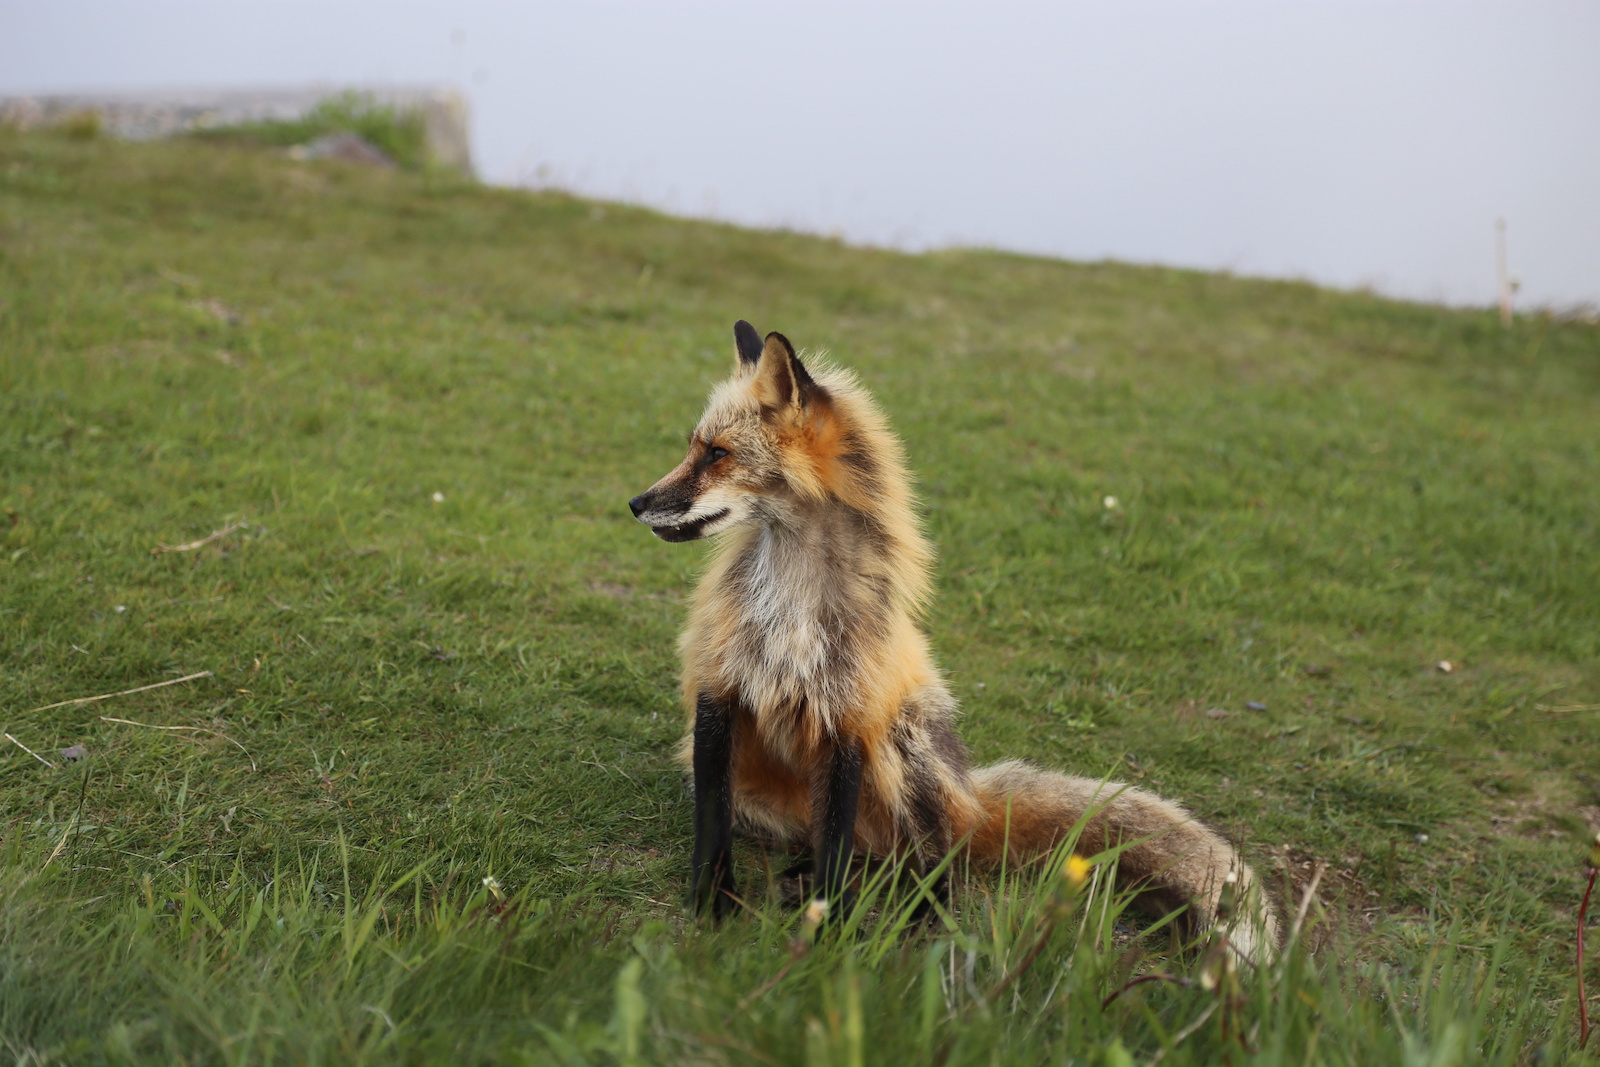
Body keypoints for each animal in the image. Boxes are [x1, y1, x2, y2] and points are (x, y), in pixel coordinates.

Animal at [628, 321, 1281, 961]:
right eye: (694, 447)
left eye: (717, 454)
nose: (635, 503)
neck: (790, 606)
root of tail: (969, 795)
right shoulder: (718, 692)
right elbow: (712, 825)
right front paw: (713, 904)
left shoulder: (850, 716)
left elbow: (837, 842)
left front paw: (829, 929)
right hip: (748, 783)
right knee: (867, 853)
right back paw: (810, 880)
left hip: (906, 741)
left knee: (931, 862)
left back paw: (915, 916)